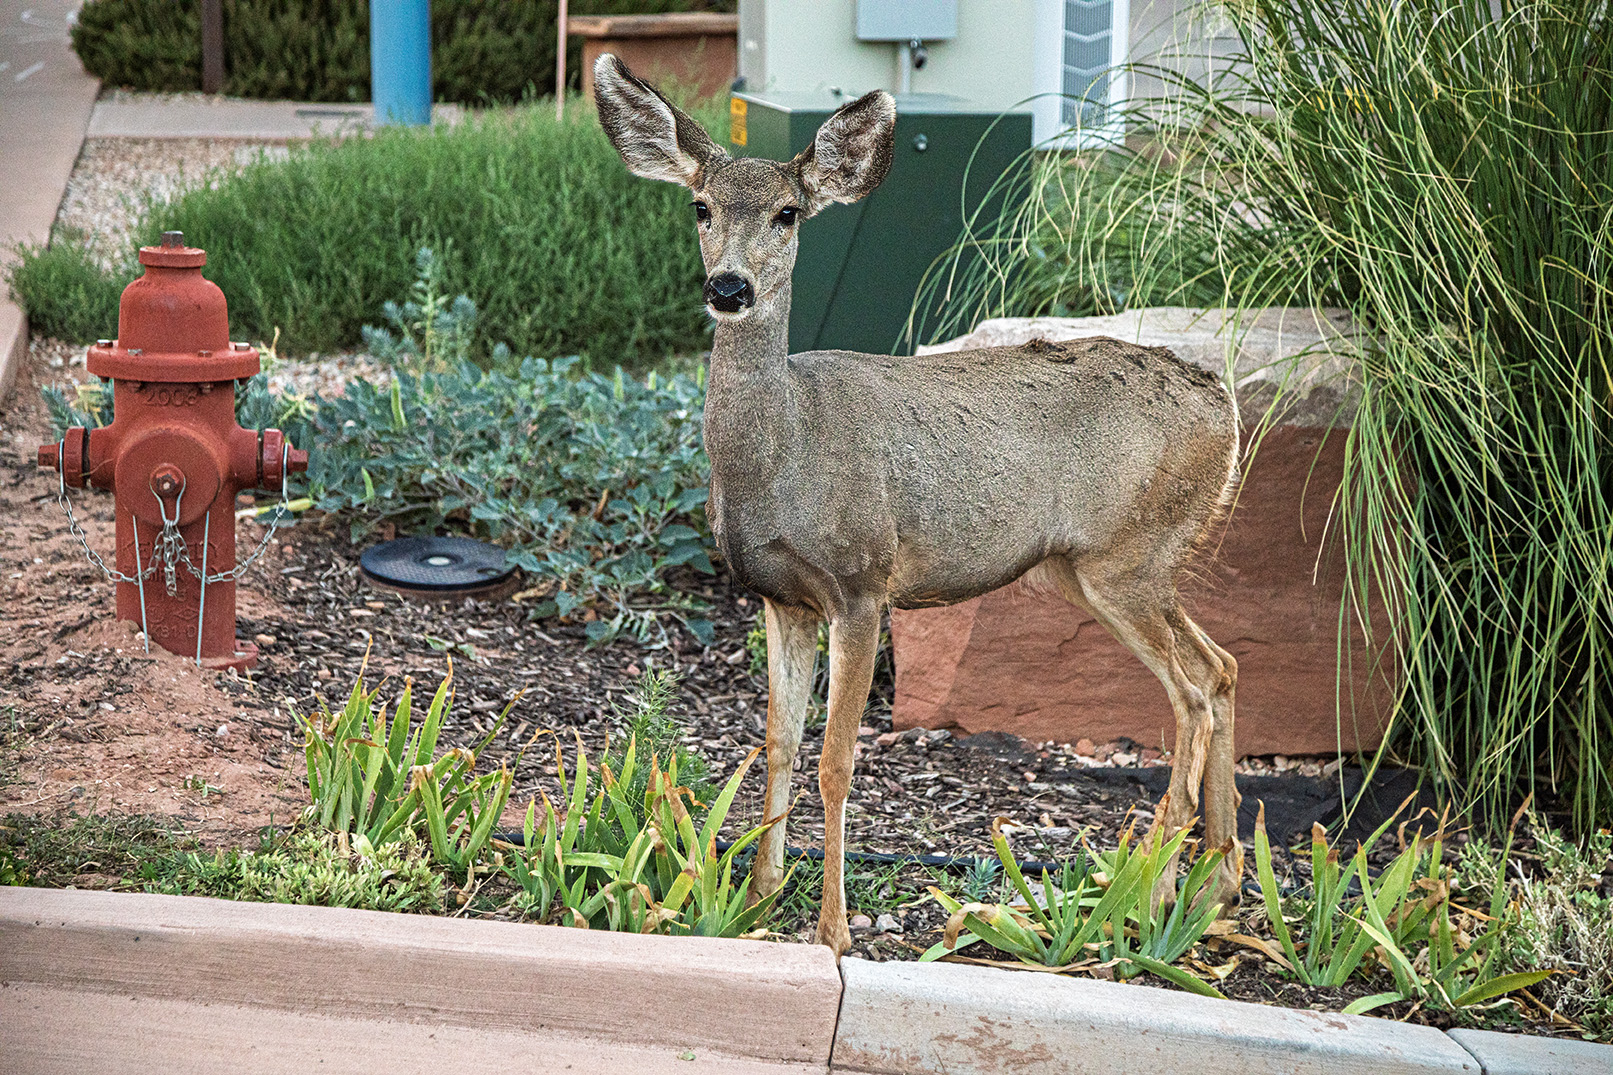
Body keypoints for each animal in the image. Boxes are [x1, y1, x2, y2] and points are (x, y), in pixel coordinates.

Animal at [593, 54, 1243, 954]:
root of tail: (1226, 407)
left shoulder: (862, 584)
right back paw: (1214, 888)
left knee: (1189, 693)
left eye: (788, 213)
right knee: (1219, 667)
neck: (785, 450)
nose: (728, 287)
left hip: (1128, 555)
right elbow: (776, 744)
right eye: (700, 206)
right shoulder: (778, 597)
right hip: (1100, 566)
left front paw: (830, 930)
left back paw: (1147, 902)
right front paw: (756, 902)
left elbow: (835, 759)